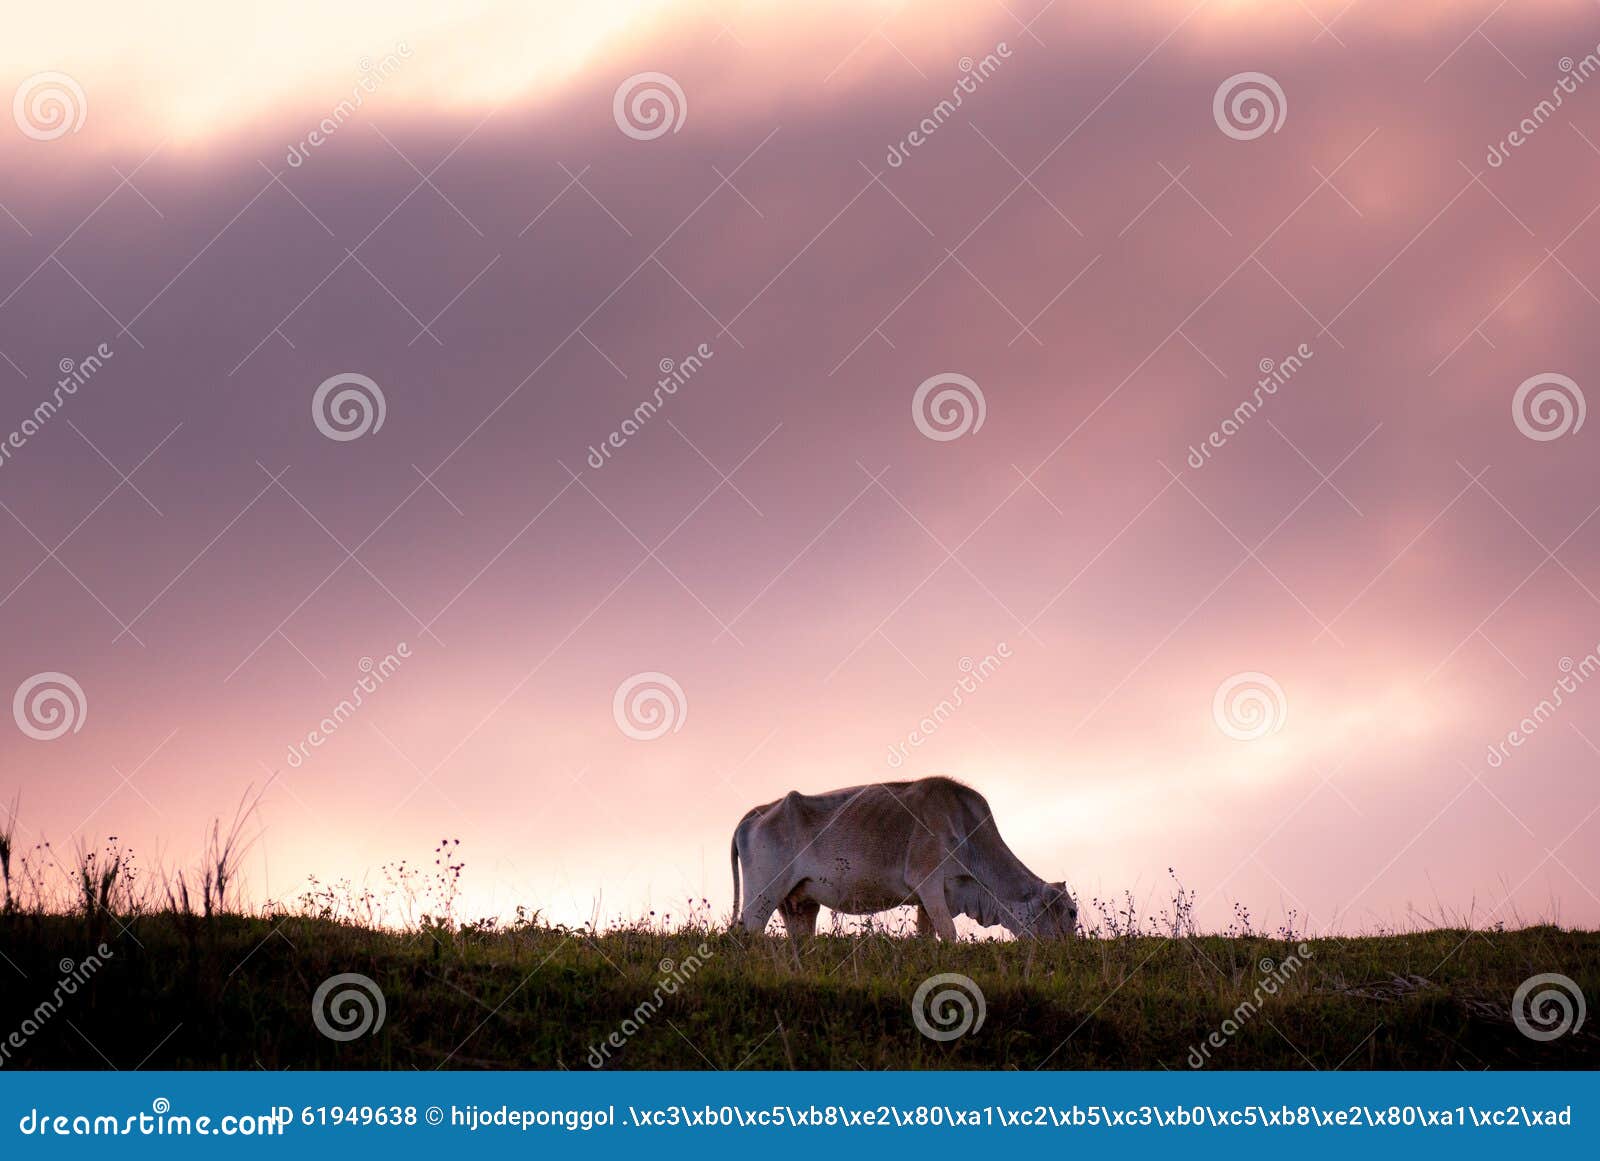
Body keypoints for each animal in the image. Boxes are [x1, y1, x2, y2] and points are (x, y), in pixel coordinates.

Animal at [729, 776, 1076, 941]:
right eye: (1072, 912)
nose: (1070, 948)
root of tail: (758, 812)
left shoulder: (929, 899)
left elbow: (927, 936)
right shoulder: (929, 883)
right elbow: (949, 933)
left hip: (799, 904)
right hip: (762, 894)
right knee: (750, 931)